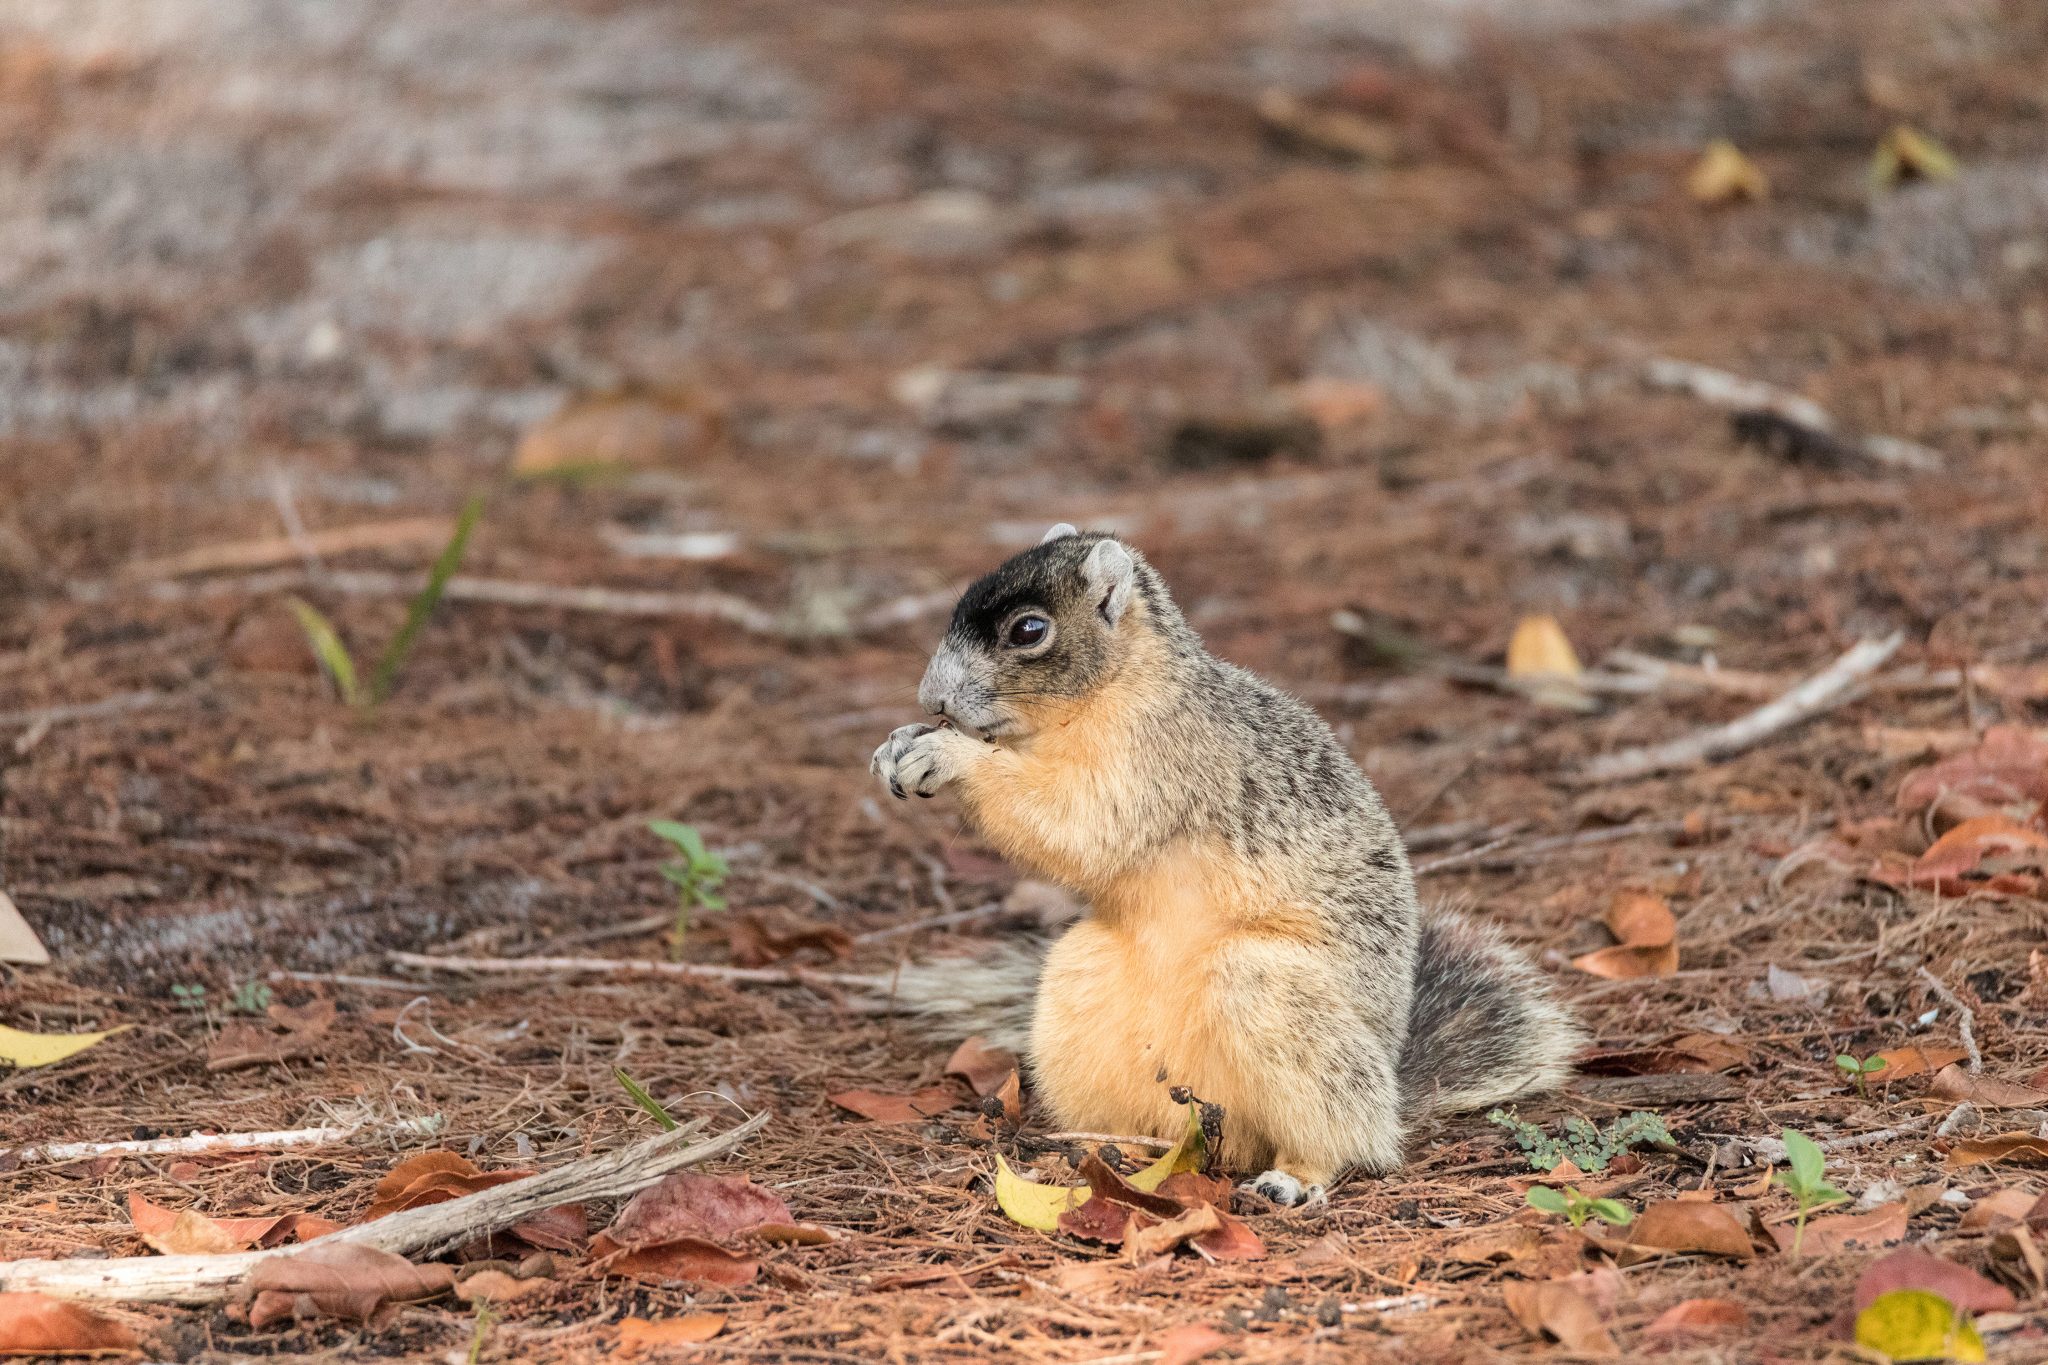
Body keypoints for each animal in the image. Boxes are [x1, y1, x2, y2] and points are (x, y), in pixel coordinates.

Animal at [871, 526, 1582, 1205]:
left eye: (1028, 630)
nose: (930, 698)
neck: (1116, 688)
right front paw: (898, 744)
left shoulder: (1164, 756)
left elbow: (1082, 824)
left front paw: (946, 754)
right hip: (1080, 989)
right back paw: (1107, 1149)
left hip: (1272, 996)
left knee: (1349, 1136)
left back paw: (1296, 1175)